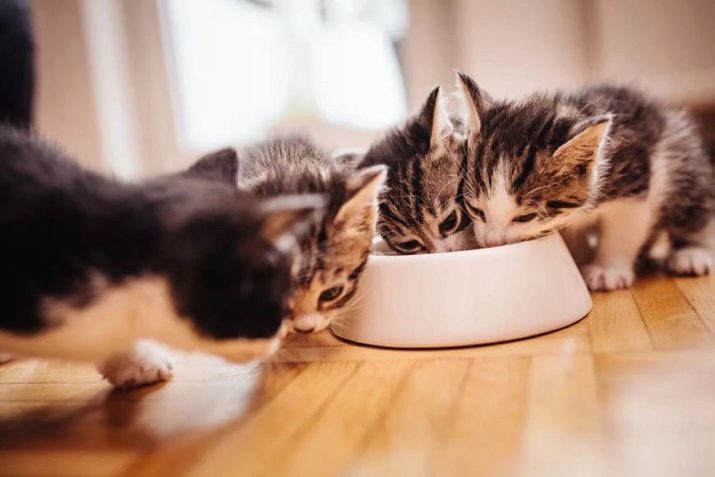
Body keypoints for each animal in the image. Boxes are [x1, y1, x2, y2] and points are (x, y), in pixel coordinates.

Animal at [456, 71, 712, 290]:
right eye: (476, 210)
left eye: (525, 218)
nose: (492, 243)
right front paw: (579, 259)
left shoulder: (633, 179)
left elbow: (624, 228)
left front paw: (607, 271)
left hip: (679, 161)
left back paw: (693, 253)